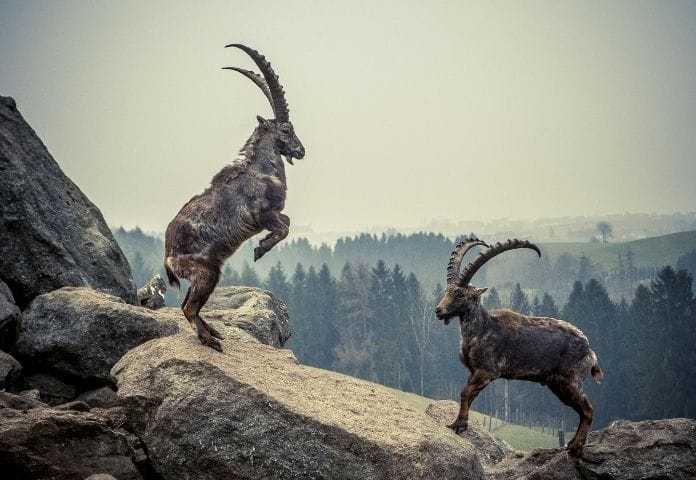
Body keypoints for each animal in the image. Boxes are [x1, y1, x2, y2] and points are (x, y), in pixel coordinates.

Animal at [164, 44, 305, 351]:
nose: (301, 151)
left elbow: (287, 222)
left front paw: (262, 245)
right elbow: (283, 228)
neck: (262, 171)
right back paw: (209, 340)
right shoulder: (263, 214)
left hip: (210, 274)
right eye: (286, 129)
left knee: (187, 305)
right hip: (205, 273)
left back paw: (215, 332)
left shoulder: (275, 213)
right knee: (188, 308)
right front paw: (260, 250)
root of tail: (168, 257)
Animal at [435, 238, 604, 455]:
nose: (439, 311)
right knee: (581, 410)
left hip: (570, 380)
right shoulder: (473, 371)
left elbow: (464, 393)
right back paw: (572, 443)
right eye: (447, 291)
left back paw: (575, 446)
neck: (482, 329)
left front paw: (460, 425)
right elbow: (469, 395)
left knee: (588, 410)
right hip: (557, 385)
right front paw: (456, 423)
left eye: (460, 295)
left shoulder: (487, 371)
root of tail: (589, 350)